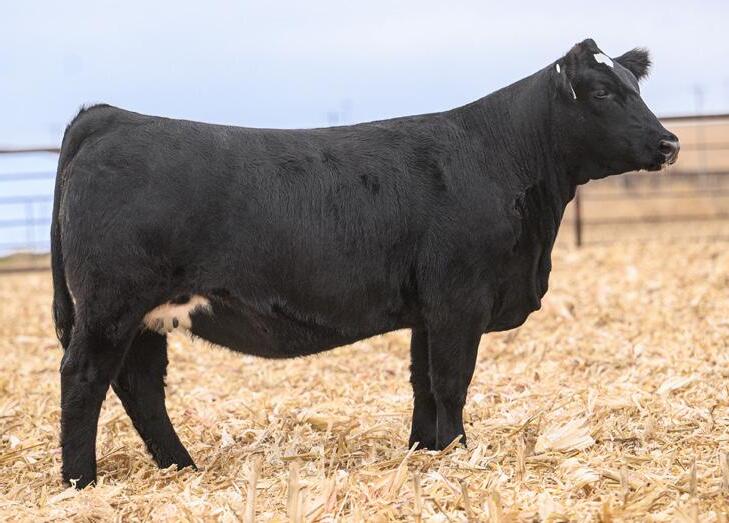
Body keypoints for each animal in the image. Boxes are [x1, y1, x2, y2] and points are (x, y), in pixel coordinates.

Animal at [51, 38, 679, 488]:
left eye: (635, 86)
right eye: (602, 93)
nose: (670, 143)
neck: (501, 158)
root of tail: (112, 117)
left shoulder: (429, 309)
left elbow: (423, 384)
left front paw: (426, 450)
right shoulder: (459, 299)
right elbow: (452, 381)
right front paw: (459, 453)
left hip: (146, 315)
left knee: (139, 386)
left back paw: (182, 468)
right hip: (111, 306)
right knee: (84, 379)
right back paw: (82, 483)